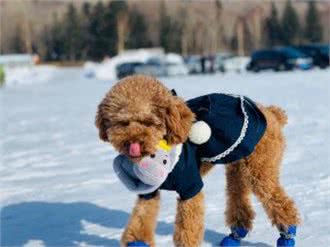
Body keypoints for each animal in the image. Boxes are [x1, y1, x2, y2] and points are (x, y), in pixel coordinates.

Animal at [94, 75, 300, 247]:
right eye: (123, 123)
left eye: (149, 122)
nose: (134, 143)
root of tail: (271, 113)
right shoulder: (149, 191)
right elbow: (142, 215)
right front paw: (137, 242)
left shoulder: (190, 187)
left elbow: (188, 226)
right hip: (238, 167)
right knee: (238, 196)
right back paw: (235, 236)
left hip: (261, 165)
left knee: (276, 199)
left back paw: (287, 234)